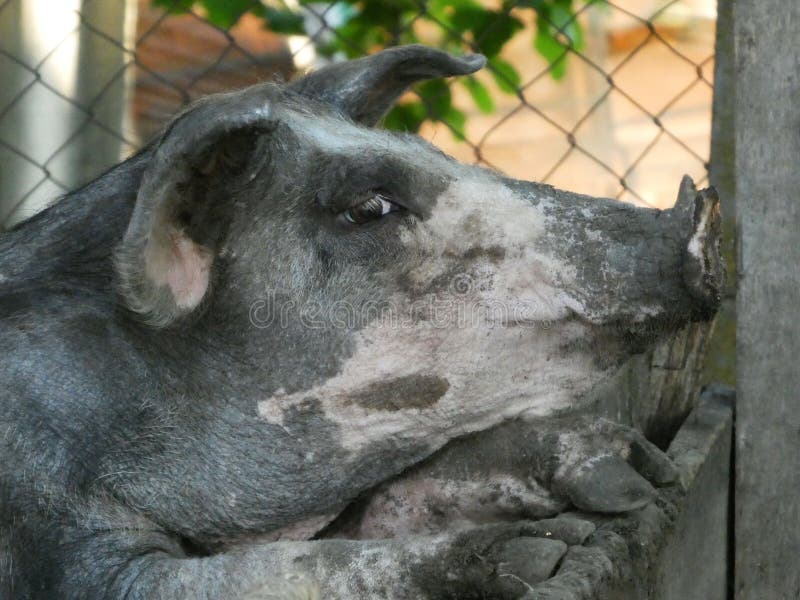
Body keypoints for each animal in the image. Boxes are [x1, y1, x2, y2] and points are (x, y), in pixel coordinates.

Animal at [0, 45, 722, 599]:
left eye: (430, 149)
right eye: (370, 205)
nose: (701, 209)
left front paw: (639, 478)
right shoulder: (54, 535)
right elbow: (288, 569)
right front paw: (547, 555)